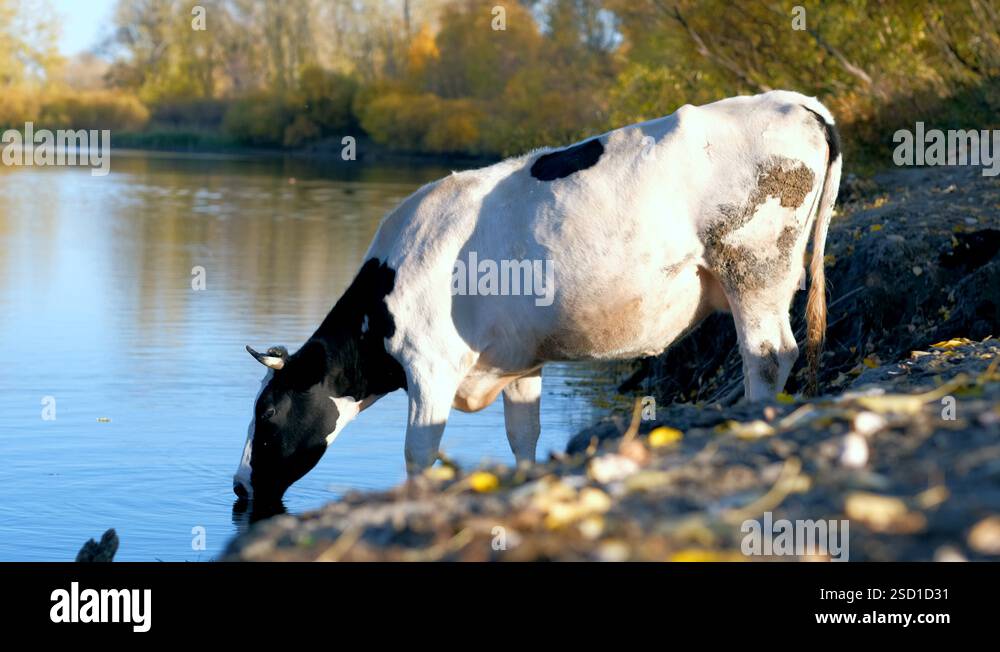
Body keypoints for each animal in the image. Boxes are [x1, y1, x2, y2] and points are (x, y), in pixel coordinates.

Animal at [234, 90, 842, 502]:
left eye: (267, 411)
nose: (239, 487)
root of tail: (796, 101)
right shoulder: (518, 363)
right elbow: (522, 437)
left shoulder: (430, 366)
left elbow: (419, 453)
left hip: (754, 268)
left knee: (768, 354)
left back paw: (756, 418)